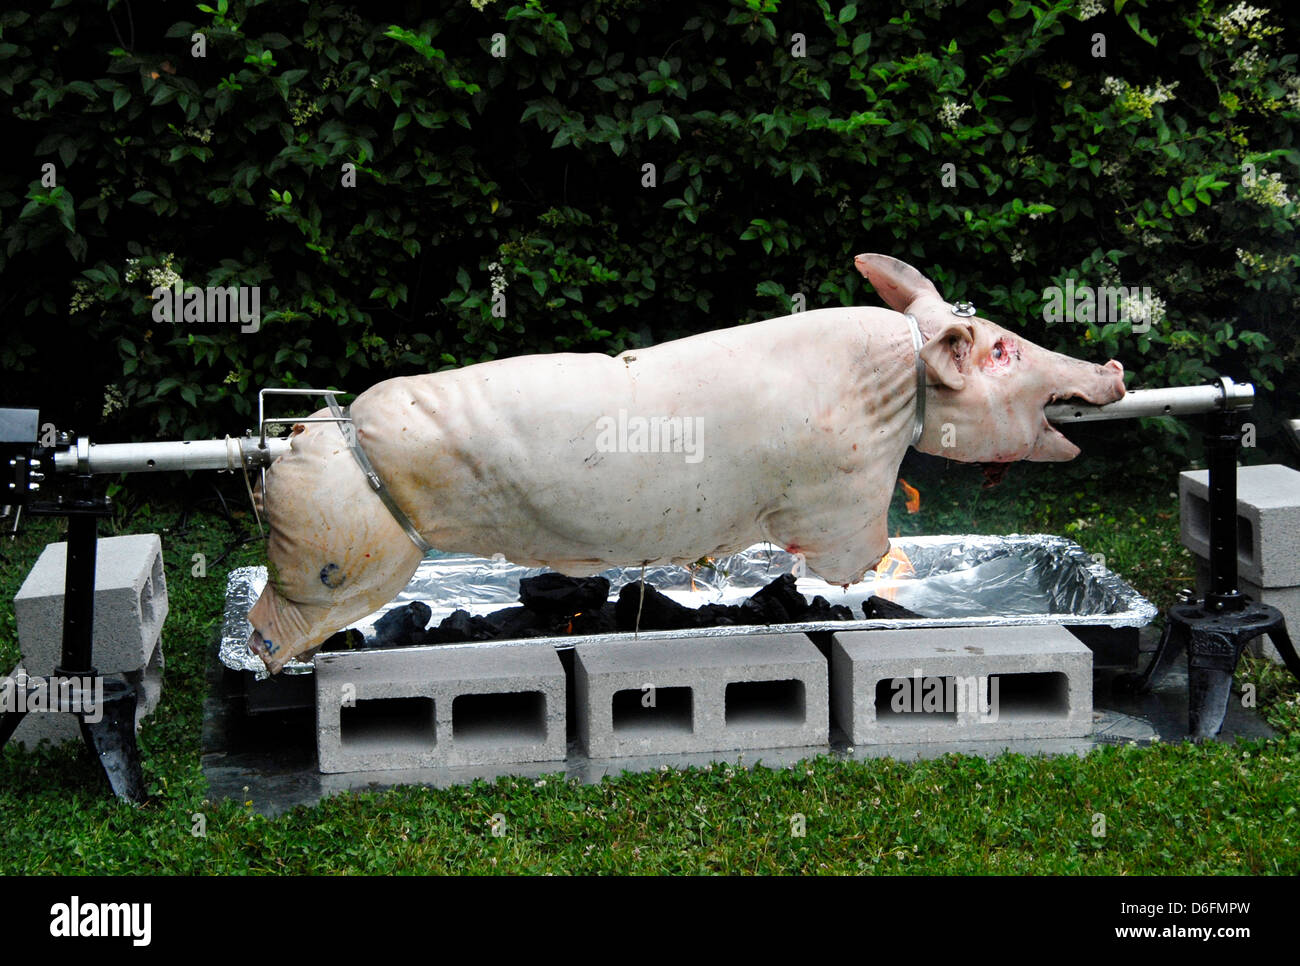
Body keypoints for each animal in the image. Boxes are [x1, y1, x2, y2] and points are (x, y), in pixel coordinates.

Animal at [247, 253, 1125, 672]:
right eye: (1004, 350)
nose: (1113, 373)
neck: (897, 387)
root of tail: (303, 435)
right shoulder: (840, 502)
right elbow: (857, 561)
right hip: (342, 553)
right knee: (287, 613)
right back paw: (268, 657)